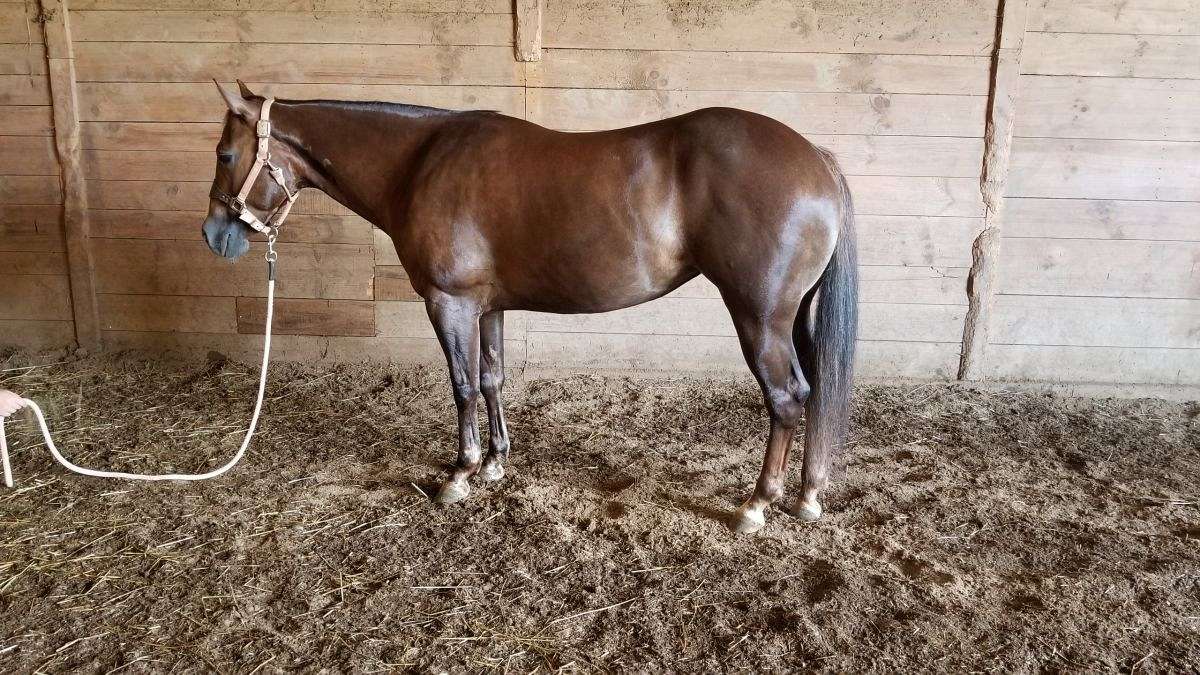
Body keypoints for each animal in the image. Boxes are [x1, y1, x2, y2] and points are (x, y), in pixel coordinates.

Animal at [201, 81, 858, 533]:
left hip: (759, 317)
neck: (420, 162)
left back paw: (756, 505)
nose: (215, 236)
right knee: (813, 390)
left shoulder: (449, 304)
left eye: (225, 155)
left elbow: (463, 386)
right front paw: (495, 464)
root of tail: (816, 158)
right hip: (793, 318)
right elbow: (492, 378)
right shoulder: (487, 307)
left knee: (787, 400)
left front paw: (459, 475)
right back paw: (806, 494)